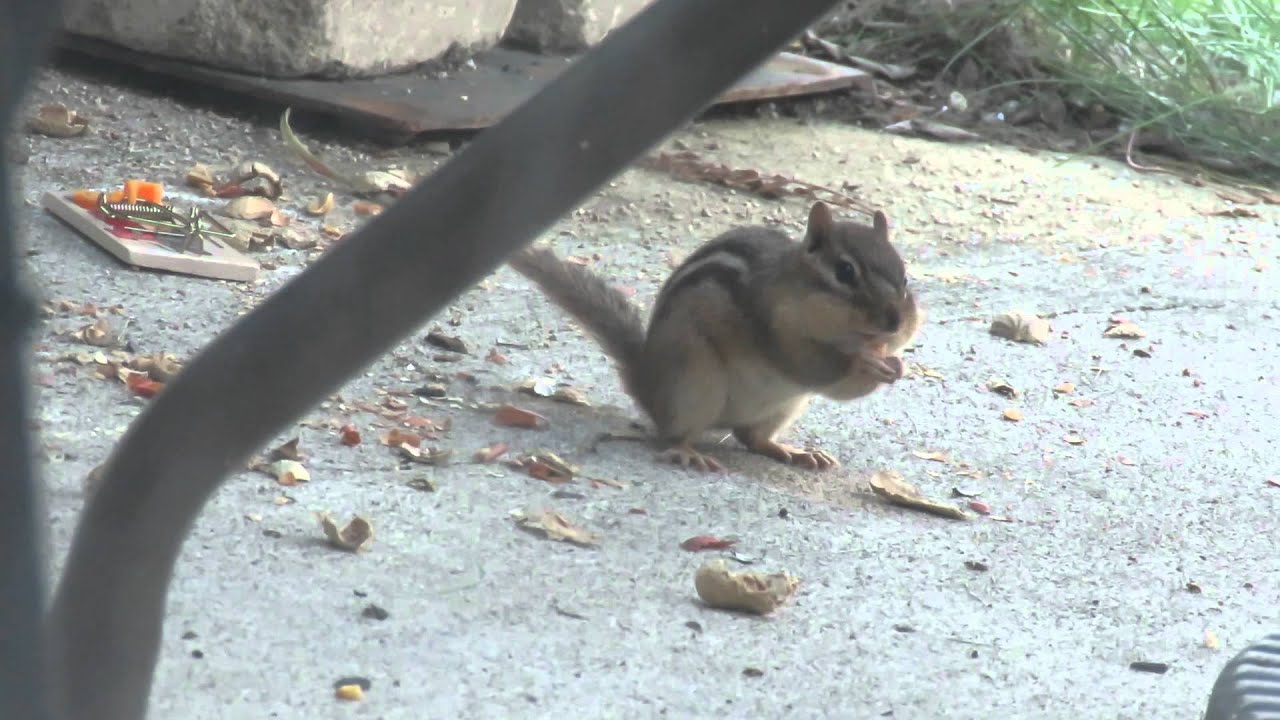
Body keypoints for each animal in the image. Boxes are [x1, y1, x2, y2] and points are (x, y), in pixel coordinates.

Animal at [507, 200, 922, 472]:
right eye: (845, 272)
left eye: (904, 277)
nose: (894, 323)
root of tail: (646, 382)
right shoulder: (773, 327)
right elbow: (809, 365)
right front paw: (865, 362)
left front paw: (895, 364)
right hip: (694, 384)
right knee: (672, 434)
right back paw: (687, 452)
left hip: (784, 406)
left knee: (751, 437)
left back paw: (793, 451)